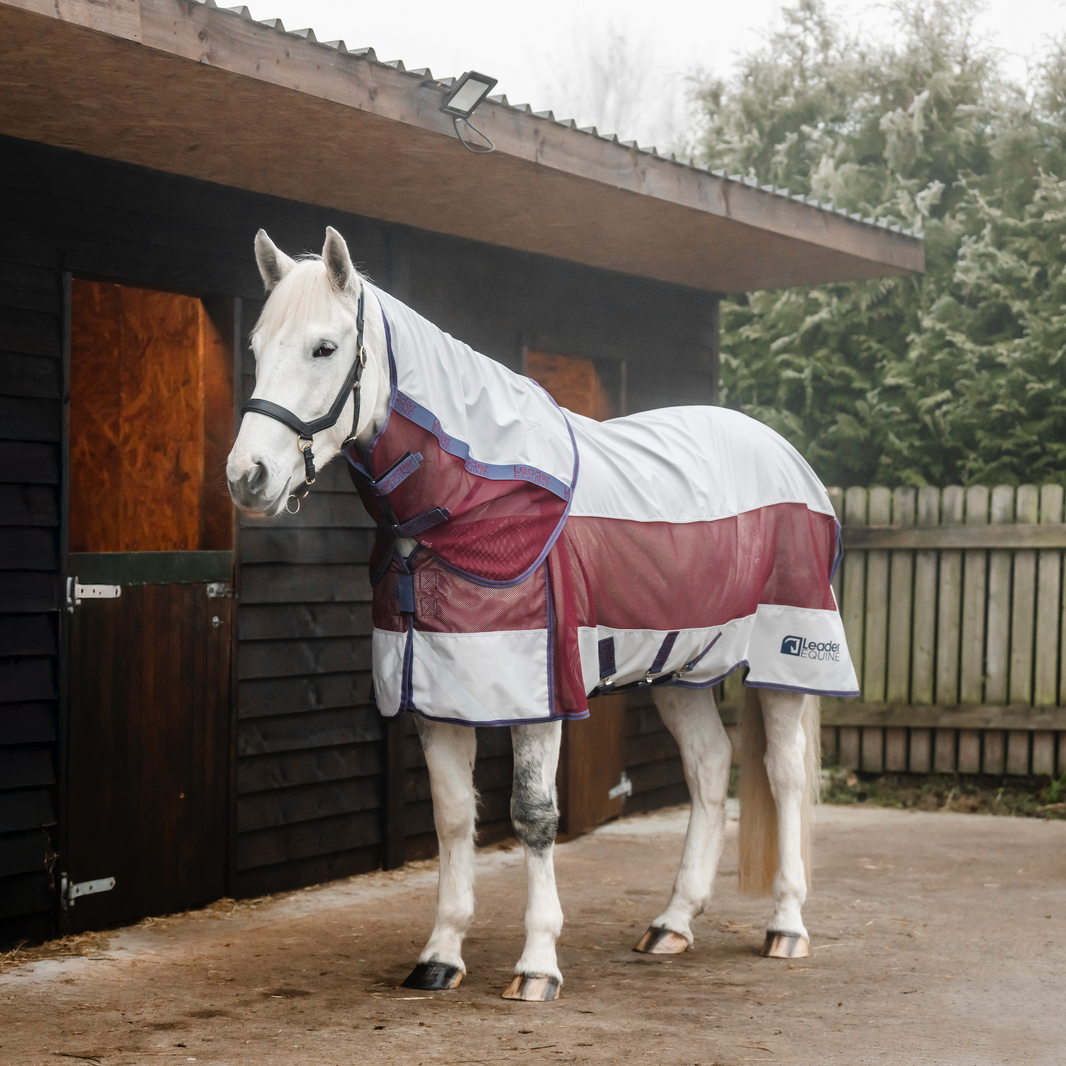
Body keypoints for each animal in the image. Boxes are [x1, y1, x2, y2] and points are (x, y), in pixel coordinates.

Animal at [226, 226, 859, 1003]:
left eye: (324, 347)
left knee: (785, 776)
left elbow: (532, 815)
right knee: (710, 766)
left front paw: (536, 966)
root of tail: (788, 458)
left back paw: (787, 926)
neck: (467, 506)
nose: (247, 478)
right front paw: (440, 956)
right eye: (257, 347)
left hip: (788, 656)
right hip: (680, 667)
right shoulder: (436, 695)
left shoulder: (539, 693)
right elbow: (453, 818)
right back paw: (673, 923)